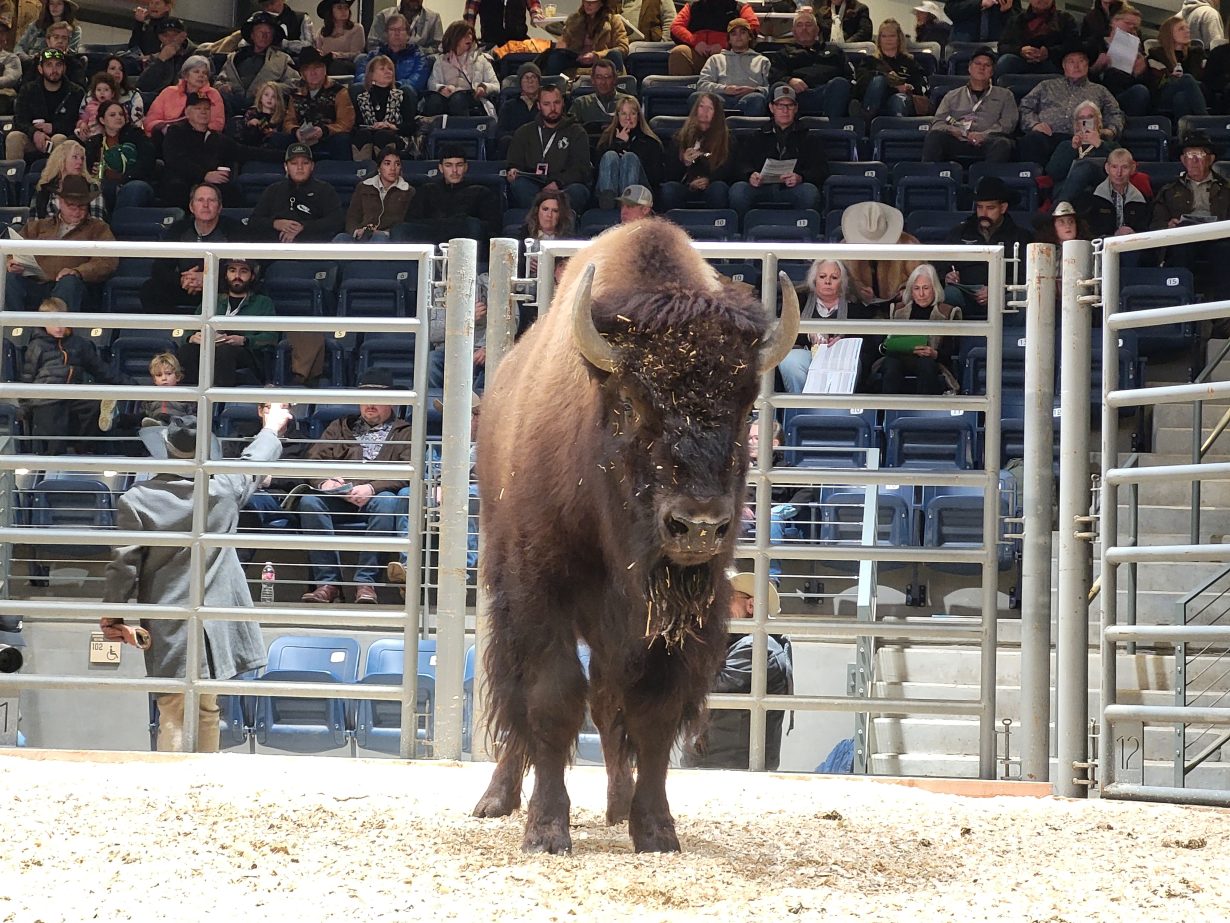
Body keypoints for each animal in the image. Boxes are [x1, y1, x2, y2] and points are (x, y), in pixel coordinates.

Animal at [473, 218, 800, 853]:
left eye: (747, 406)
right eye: (630, 400)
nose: (698, 524)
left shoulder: (678, 618)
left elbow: (650, 711)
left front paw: (654, 829)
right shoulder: (539, 592)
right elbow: (551, 700)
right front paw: (545, 829)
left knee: (607, 702)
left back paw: (618, 804)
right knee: (515, 699)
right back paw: (496, 798)